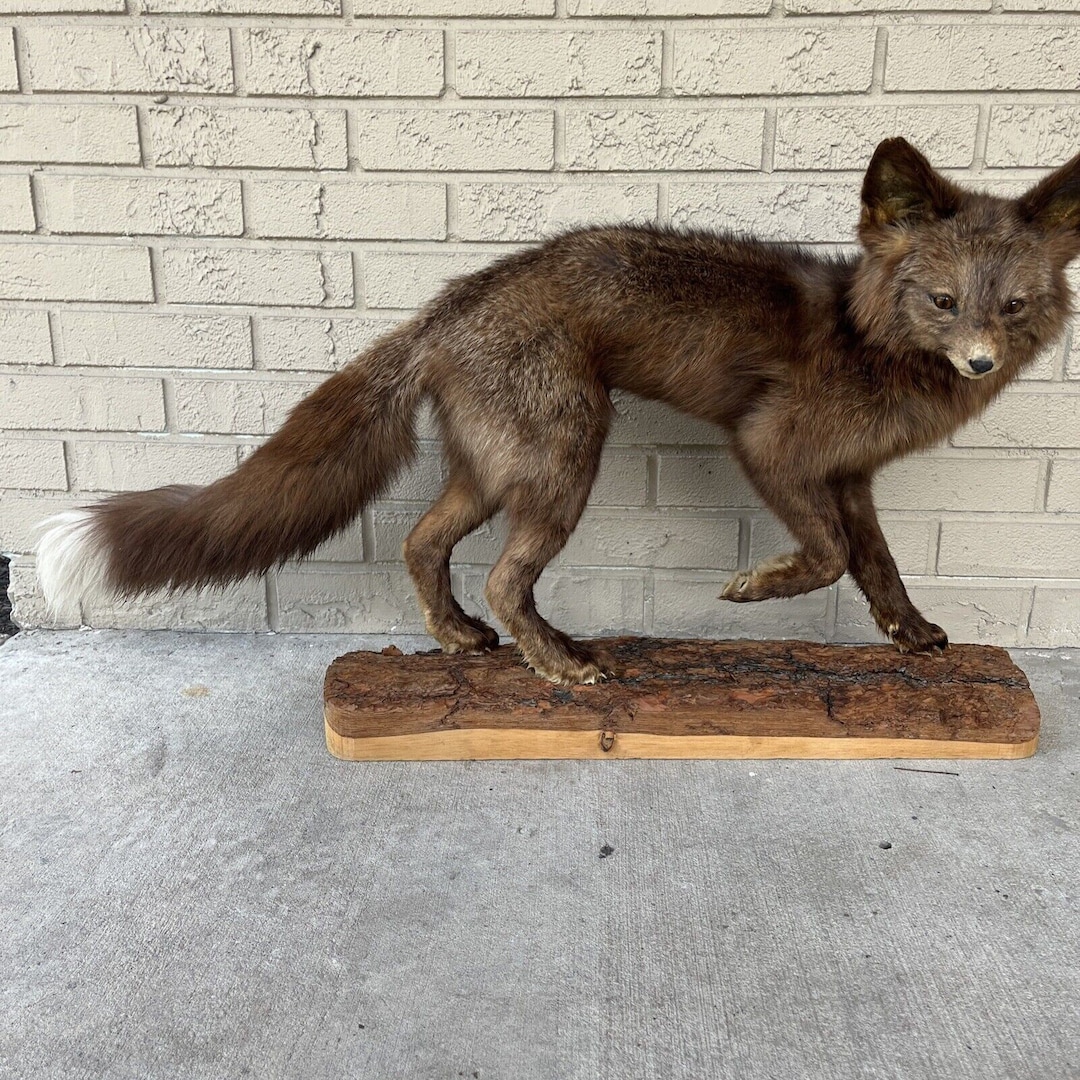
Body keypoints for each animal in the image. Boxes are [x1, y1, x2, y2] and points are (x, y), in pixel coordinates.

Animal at [37, 137, 1080, 686]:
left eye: (1013, 306)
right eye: (943, 301)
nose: (982, 361)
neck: (866, 336)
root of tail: (444, 308)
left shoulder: (849, 476)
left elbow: (878, 569)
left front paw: (915, 638)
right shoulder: (772, 449)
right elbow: (824, 557)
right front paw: (753, 589)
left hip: (496, 470)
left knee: (423, 544)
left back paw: (465, 639)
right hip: (565, 458)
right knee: (503, 578)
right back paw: (560, 666)